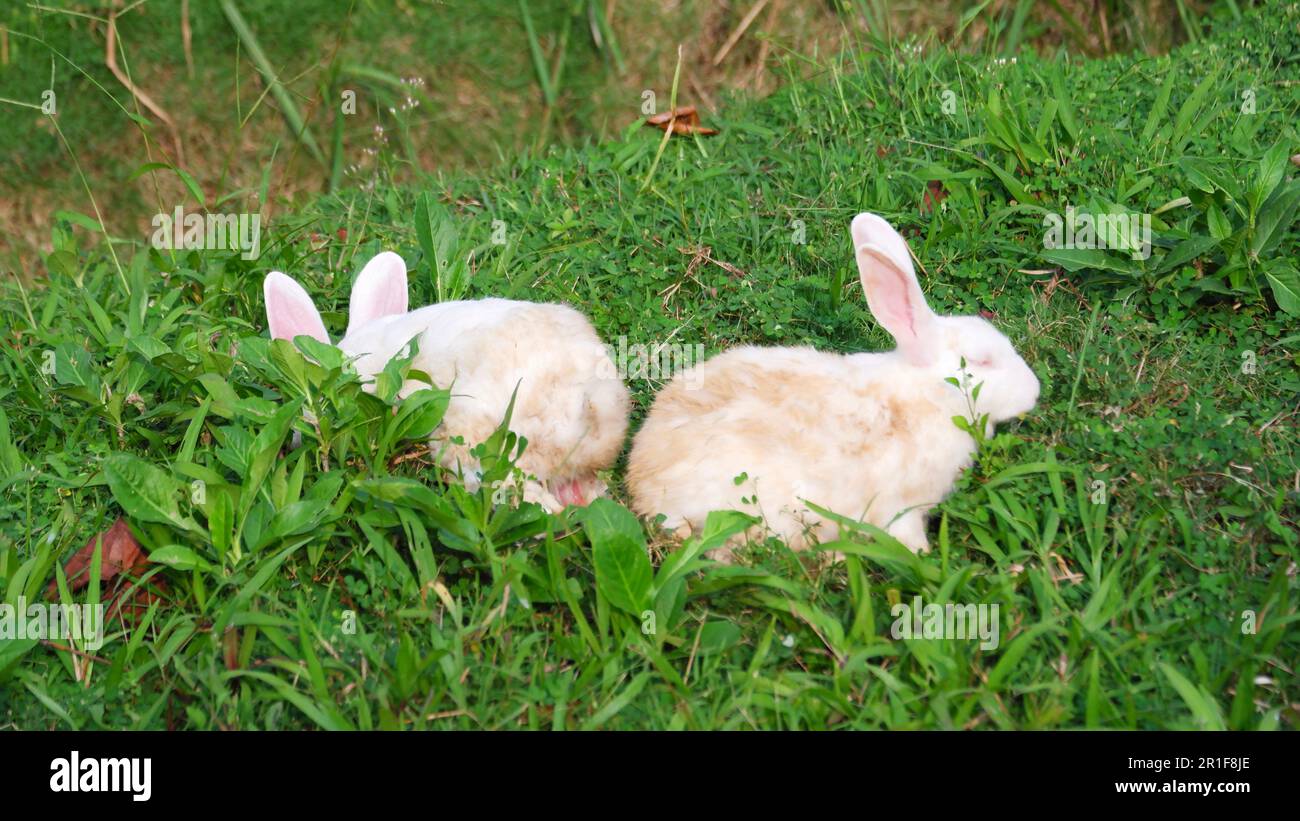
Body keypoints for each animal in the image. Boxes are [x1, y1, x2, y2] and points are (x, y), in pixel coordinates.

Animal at [626, 213, 1040, 558]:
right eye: (981, 361)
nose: (1034, 390)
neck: (929, 395)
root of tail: (641, 477)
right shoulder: (900, 508)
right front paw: (924, 557)